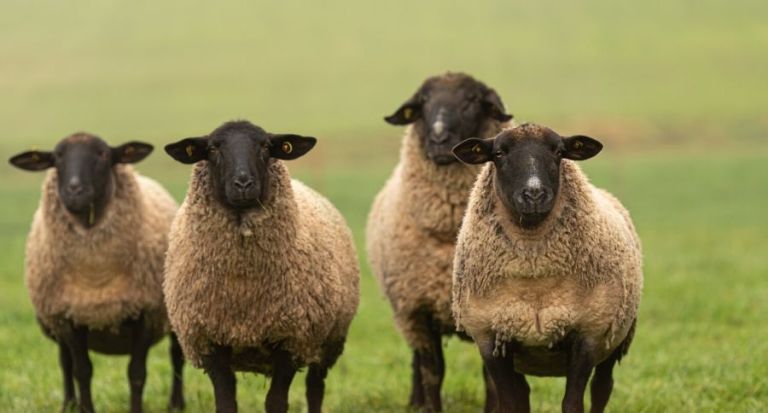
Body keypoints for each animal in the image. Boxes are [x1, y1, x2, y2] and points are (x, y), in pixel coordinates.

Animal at [8, 133, 185, 413]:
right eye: (57, 157)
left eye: (102, 155)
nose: (74, 190)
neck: (96, 277)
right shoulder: (69, 316)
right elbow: (82, 371)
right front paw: (84, 407)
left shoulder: (145, 312)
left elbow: (137, 373)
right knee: (65, 362)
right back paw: (68, 404)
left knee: (176, 356)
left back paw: (176, 403)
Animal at [163, 120, 359, 413]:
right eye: (212, 149)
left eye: (266, 147)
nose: (243, 183)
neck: (244, 286)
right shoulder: (210, 340)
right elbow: (226, 402)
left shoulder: (291, 338)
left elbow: (276, 402)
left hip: (327, 341)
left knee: (315, 388)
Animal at [366, 72, 514, 412]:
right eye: (422, 104)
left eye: (472, 100)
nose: (438, 139)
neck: (450, 238)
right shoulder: (416, 311)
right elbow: (433, 371)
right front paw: (429, 406)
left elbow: (492, 377)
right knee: (417, 365)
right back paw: (414, 403)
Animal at [451, 123, 643, 413]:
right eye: (499, 153)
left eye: (559, 152)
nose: (534, 195)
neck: (534, 278)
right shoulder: (490, 338)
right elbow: (510, 404)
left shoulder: (588, 335)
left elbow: (573, 404)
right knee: (523, 395)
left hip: (617, 337)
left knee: (602, 389)